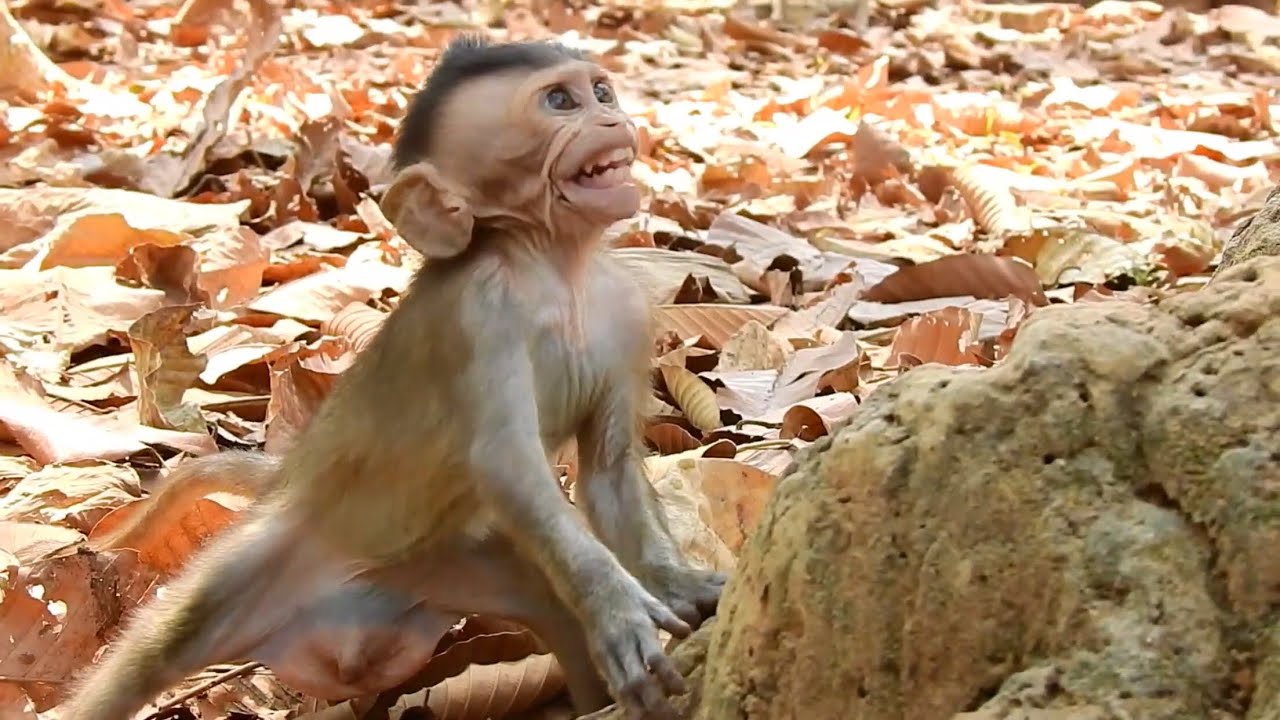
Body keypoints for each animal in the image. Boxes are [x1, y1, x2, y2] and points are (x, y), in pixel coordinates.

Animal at [63, 36, 726, 720]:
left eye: (600, 92)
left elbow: (608, 471)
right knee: (162, 646)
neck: (553, 270)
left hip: (446, 563)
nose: (612, 121)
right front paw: (615, 606)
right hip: (281, 549)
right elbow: (506, 465)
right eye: (560, 102)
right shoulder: (476, 317)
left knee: (550, 610)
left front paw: (677, 585)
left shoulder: (627, 310)